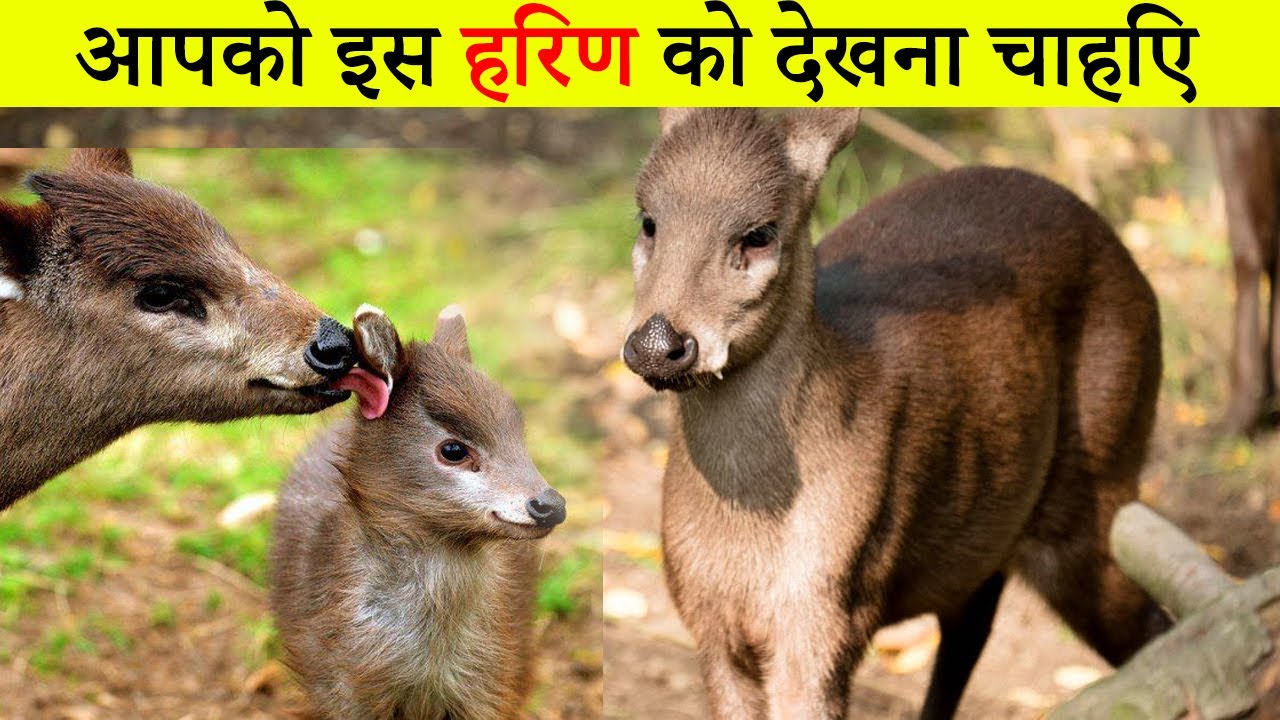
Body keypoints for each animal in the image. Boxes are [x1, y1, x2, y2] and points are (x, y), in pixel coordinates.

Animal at [621, 108, 1171, 719]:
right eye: (648, 220)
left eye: (759, 233)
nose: (658, 343)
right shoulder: (707, 622)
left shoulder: (828, 606)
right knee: (971, 626)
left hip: (1100, 477)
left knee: (1153, 628)